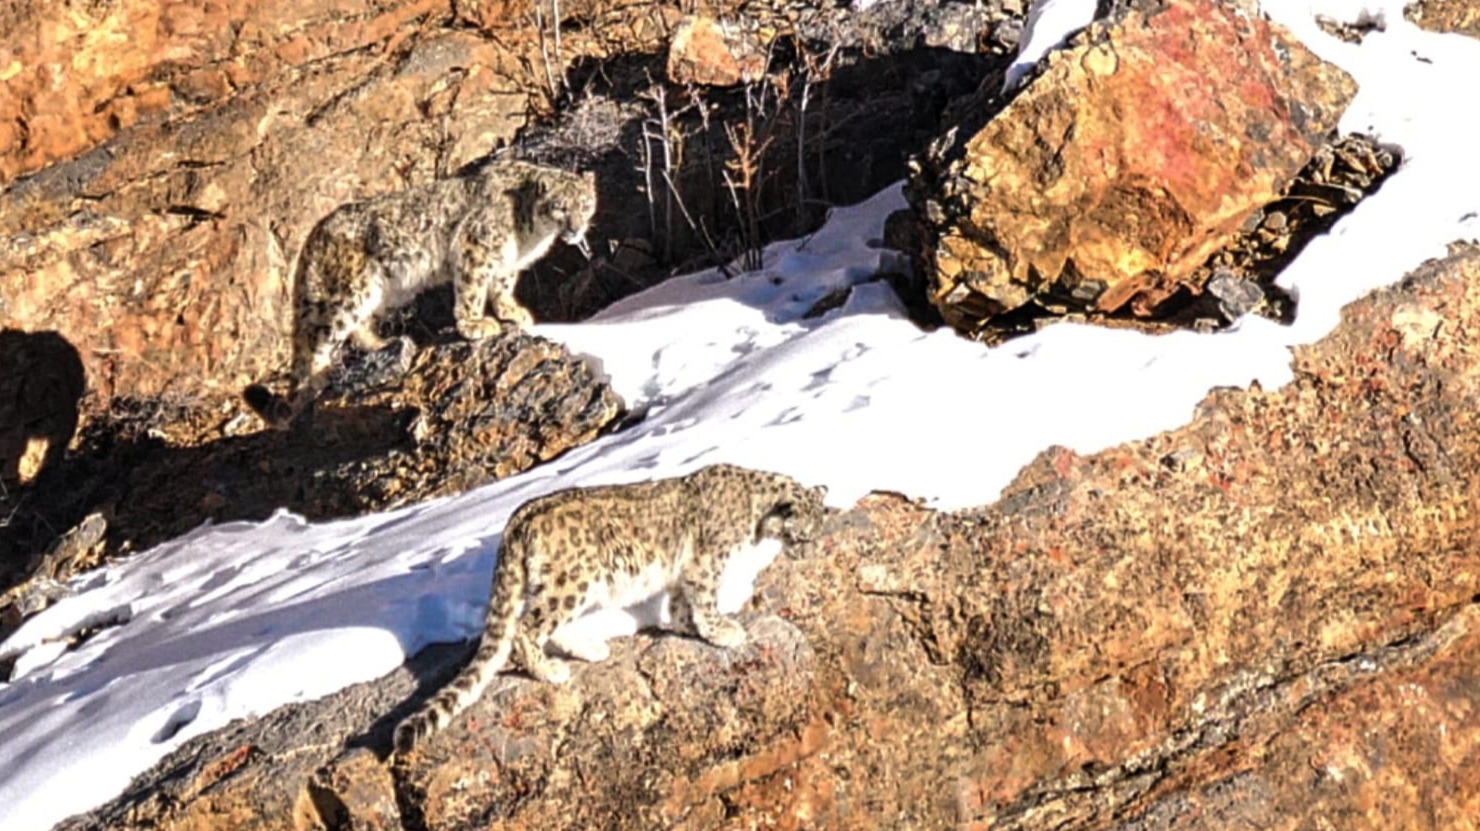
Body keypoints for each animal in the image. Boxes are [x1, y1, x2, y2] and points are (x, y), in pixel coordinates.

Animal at [245, 159, 597, 428]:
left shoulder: (507, 264)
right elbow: (472, 289)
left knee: (359, 326)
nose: (575, 228)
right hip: (344, 296)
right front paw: (474, 324)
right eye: (560, 207)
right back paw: (315, 382)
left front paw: (512, 312)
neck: (531, 237)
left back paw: (384, 344)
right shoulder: (476, 248)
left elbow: (502, 287)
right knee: (316, 340)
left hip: (381, 293)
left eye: (585, 205)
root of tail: (313, 236)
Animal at [392, 463, 827, 754]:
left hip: (576, 587)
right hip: (572, 583)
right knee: (527, 627)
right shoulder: (706, 564)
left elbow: (680, 606)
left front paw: (686, 627)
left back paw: (591, 649)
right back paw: (551, 671)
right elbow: (704, 600)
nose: (811, 550)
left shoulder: (681, 574)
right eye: (805, 534)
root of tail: (517, 518)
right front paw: (724, 632)